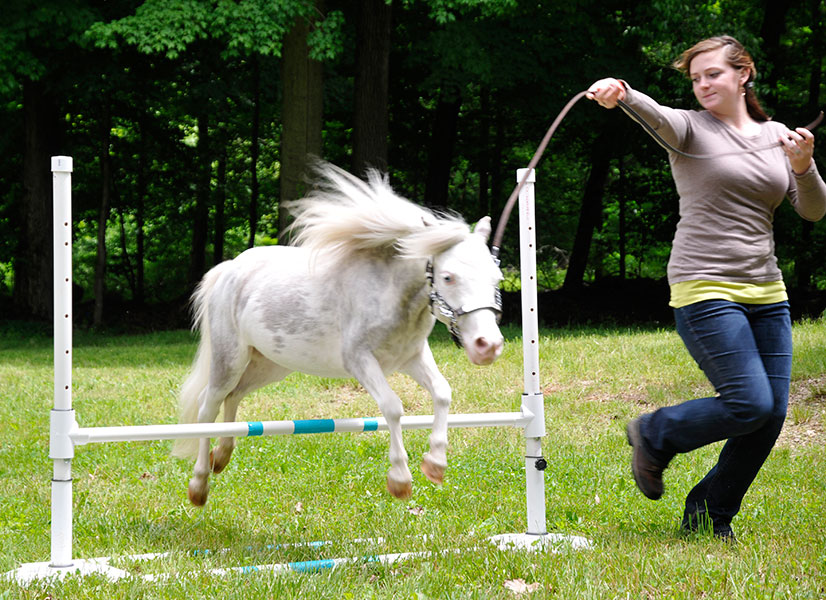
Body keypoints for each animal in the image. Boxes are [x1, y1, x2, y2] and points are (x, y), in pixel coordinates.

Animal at [172, 162, 505, 506]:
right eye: (448, 277)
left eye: (497, 276)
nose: (488, 346)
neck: (390, 293)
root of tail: (228, 269)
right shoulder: (359, 360)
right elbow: (392, 407)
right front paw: (400, 479)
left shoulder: (411, 357)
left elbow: (442, 392)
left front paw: (435, 463)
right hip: (230, 361)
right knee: (207, 406)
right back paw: (199, 484)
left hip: (269, 365)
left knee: (234, 396)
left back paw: (222, 455)